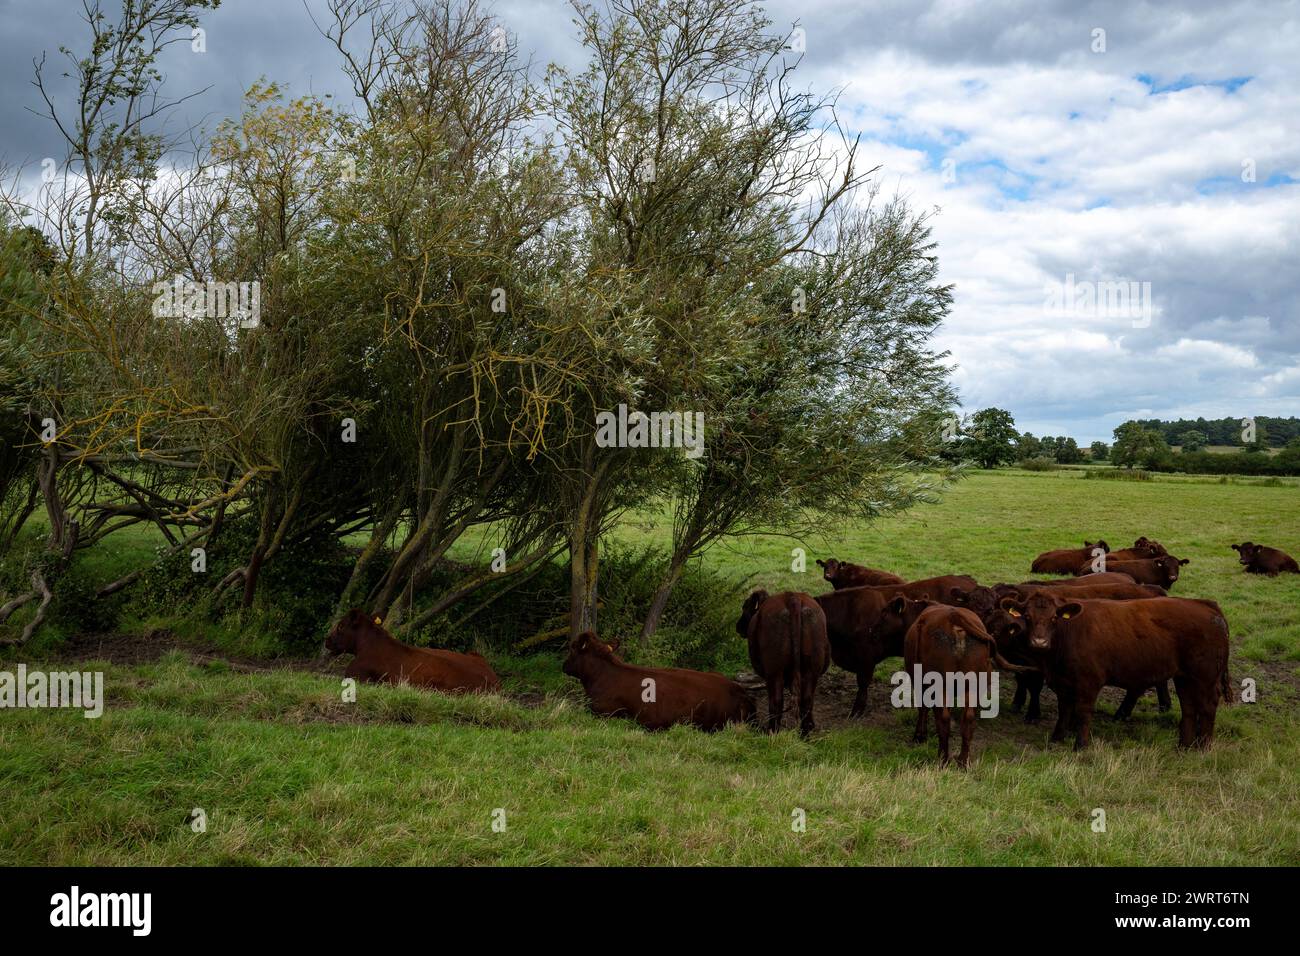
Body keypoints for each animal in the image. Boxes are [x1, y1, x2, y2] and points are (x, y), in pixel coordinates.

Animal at [736, 590, 830, 735]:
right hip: (811, 671)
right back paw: (804, 735)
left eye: (745, 607)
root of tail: (793, 598)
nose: (738, 626)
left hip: (774, 672)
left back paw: (772, 732)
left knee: (776, 702)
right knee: (806, 702)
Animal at [996, 593, 1231, 750]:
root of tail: (1205, 605)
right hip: (1184, 677)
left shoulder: (1089, 682)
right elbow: (1064, 710)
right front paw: (1057, 738)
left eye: (1055, 617)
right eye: (1027, 616)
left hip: (1205, 676)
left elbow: (1082, 712)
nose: (1039, 642)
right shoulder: (1062, 683)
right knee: (1189, 707)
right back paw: (1183, 746)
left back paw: (1203, 747)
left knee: (1208, 706)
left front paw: (1081, 746)